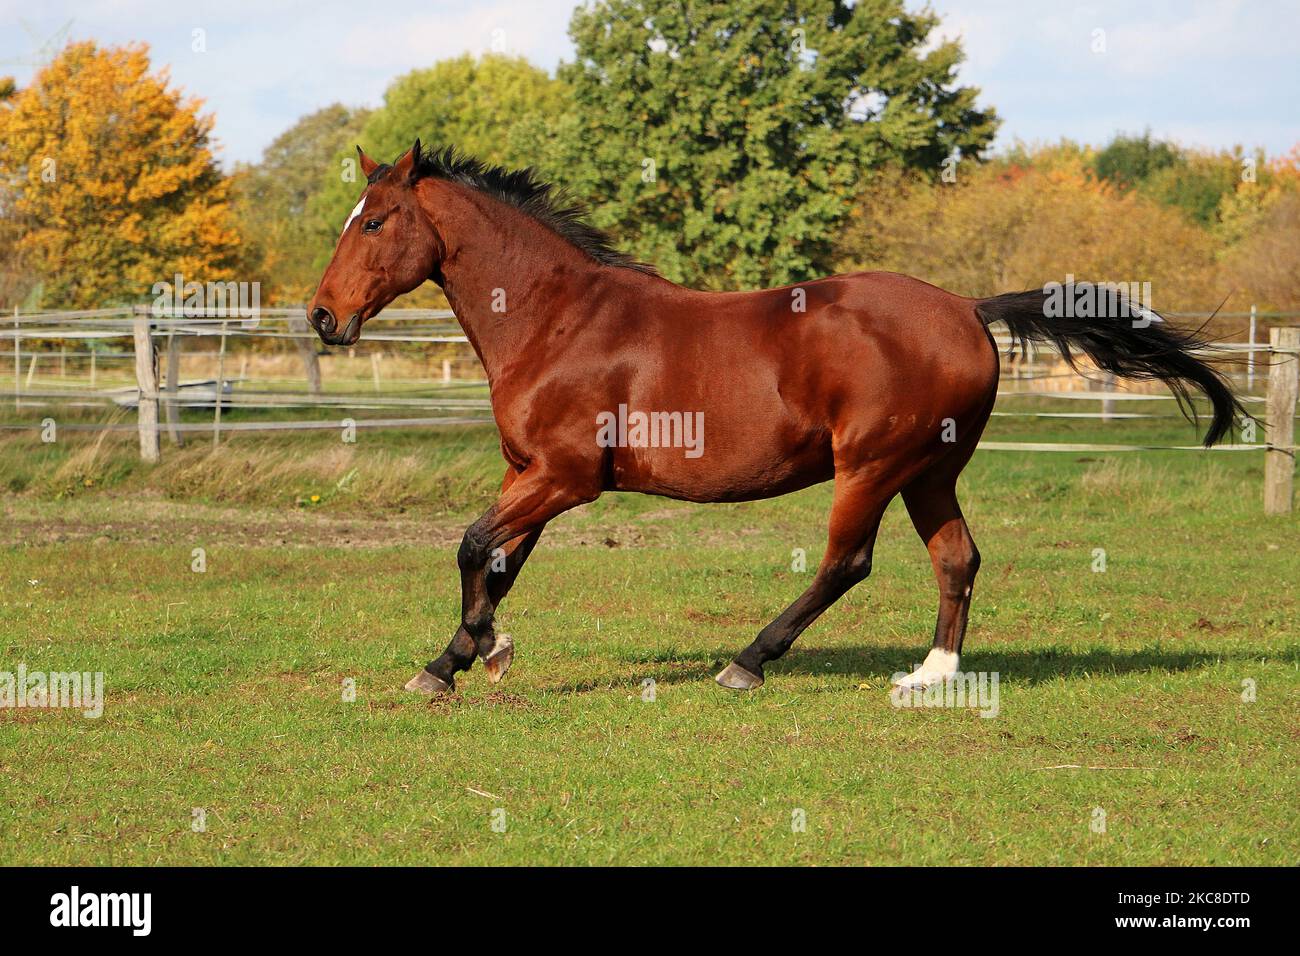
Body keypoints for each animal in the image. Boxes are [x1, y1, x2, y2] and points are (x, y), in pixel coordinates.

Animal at [307, 141, 1242, 695]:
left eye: (377, 220)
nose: (322, 317)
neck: (556, 318)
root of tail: (968, 309)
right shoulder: (527, 471)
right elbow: (496, 561)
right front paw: (465, 657)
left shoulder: (567, 477)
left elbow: (474, 546)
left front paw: (461, 659)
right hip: (930, 472)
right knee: (957, 558)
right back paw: (931, 676)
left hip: (872, 467)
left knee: (847, 564)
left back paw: (747, 662)